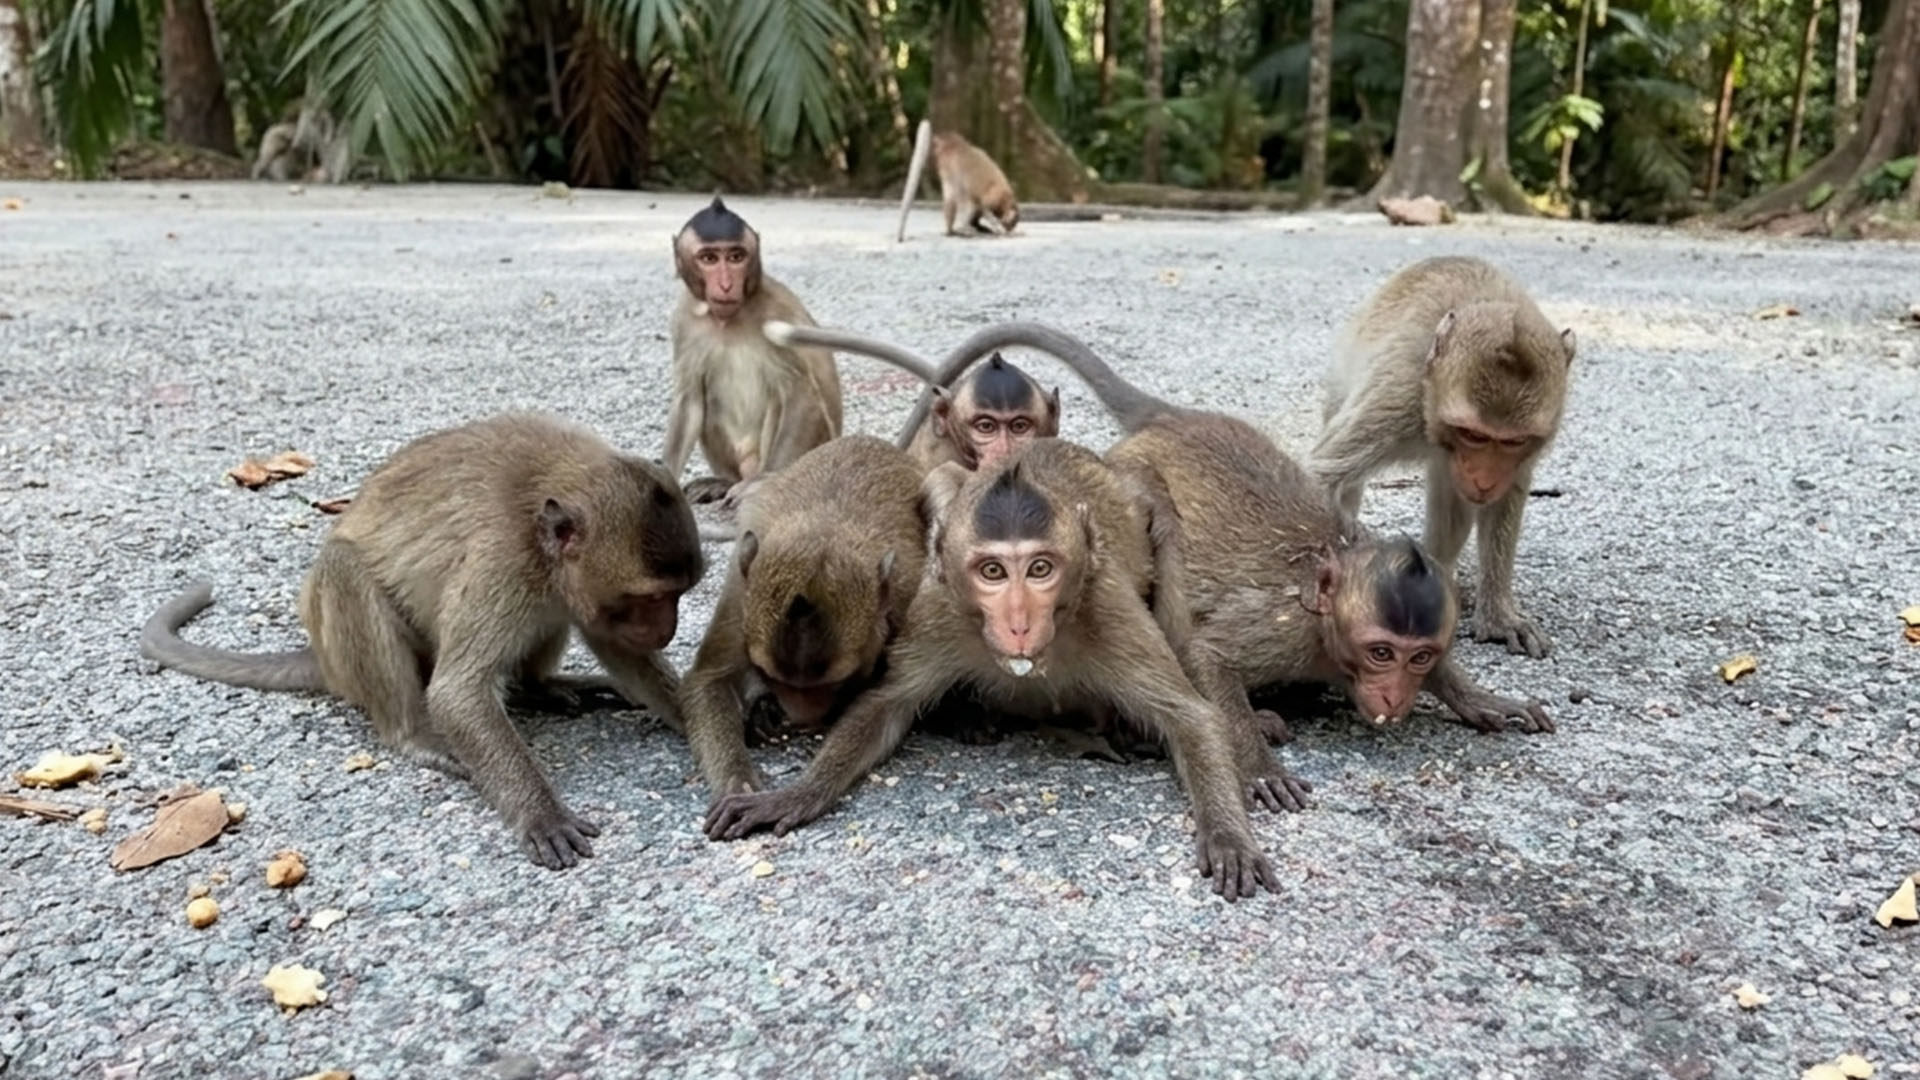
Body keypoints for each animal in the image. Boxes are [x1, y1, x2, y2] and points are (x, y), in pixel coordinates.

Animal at [139, 412, 705, 870]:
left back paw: (539, 686)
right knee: (346, 570)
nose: (668, 629)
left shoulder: (575, 587)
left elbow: (620, 649)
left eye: (679, 594)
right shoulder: (503, 562)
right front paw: (540, 812)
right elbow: (457, 694)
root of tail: (321, 655)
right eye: (653, 598)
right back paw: (415, 733)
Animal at [662, 196, 844, 509]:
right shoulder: (684, 320)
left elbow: (801, 395)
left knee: (779, 397)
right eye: (709, 258)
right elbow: (690, 400)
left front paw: (763, 484)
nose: (725, 284)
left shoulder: (778, 314)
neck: (728, 319)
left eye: (736, 256)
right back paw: (723, 482)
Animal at [676, 435, 929, 799]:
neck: (825, 529)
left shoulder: (908, 596)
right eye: (773, 677)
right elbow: (708, 679)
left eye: (837, 681)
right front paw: (738, 783)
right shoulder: (741, 594)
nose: (802, 718)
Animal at [704, 439, 1287, 902]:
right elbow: (885, 706)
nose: (1019, 622)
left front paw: (1228, 835)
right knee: (941, 480)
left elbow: (1190, 717)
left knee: (1163, 523)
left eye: (1040, 569)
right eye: (992, 572)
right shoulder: (940, 612)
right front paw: (796, 794)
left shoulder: (1109, 610)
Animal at [1307, 256, 1576, 659]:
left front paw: (1498, 616)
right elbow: (1320, 475)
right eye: (1474, 435)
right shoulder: (1399, 399)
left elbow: (1502, 502)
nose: (1483, 478)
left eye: (1513, 441)